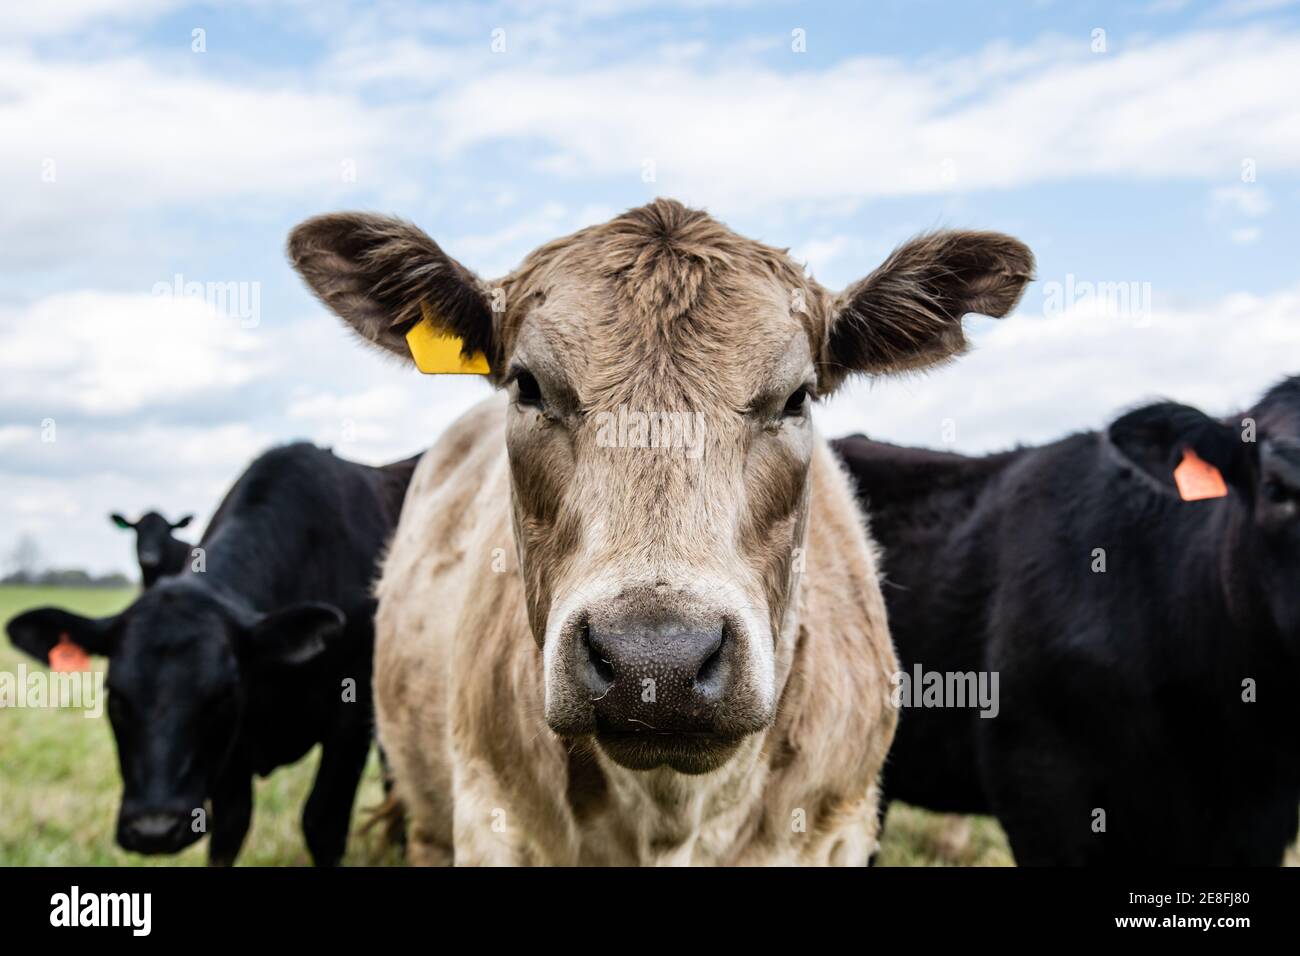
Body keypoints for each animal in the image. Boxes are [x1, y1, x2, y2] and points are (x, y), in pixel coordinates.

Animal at [8, 444, 419, 865]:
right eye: (116, 695)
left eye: (221, 693)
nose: (154, 830)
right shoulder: (230, 751)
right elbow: (229, 829)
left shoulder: (349, 723)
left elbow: (322, 823)